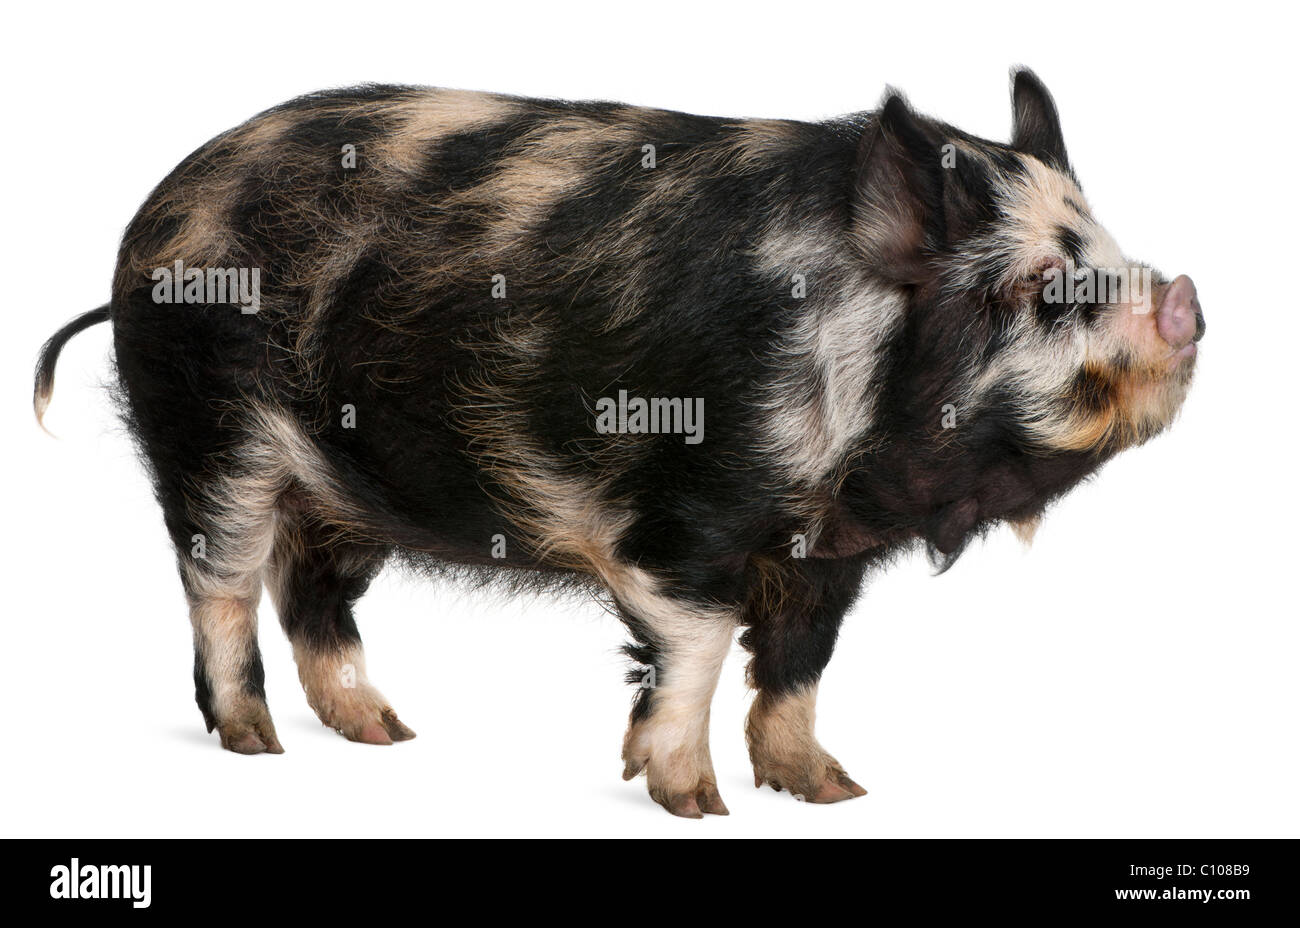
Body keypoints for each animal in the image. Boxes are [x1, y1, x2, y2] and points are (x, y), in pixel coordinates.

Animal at [34, 69, 1202, 817]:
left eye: (1105, 249)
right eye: (1045, 287)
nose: (1184, 293)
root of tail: (145, 226)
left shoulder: (825, 556)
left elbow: (798, 663)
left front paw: (832, 789)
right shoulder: (682, 521)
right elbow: (698, 648)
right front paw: (695, 804)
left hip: (341, 483)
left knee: (308, 594)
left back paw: (386, 732)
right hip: (214, 438)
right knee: (220, 585)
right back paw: (257, 743)